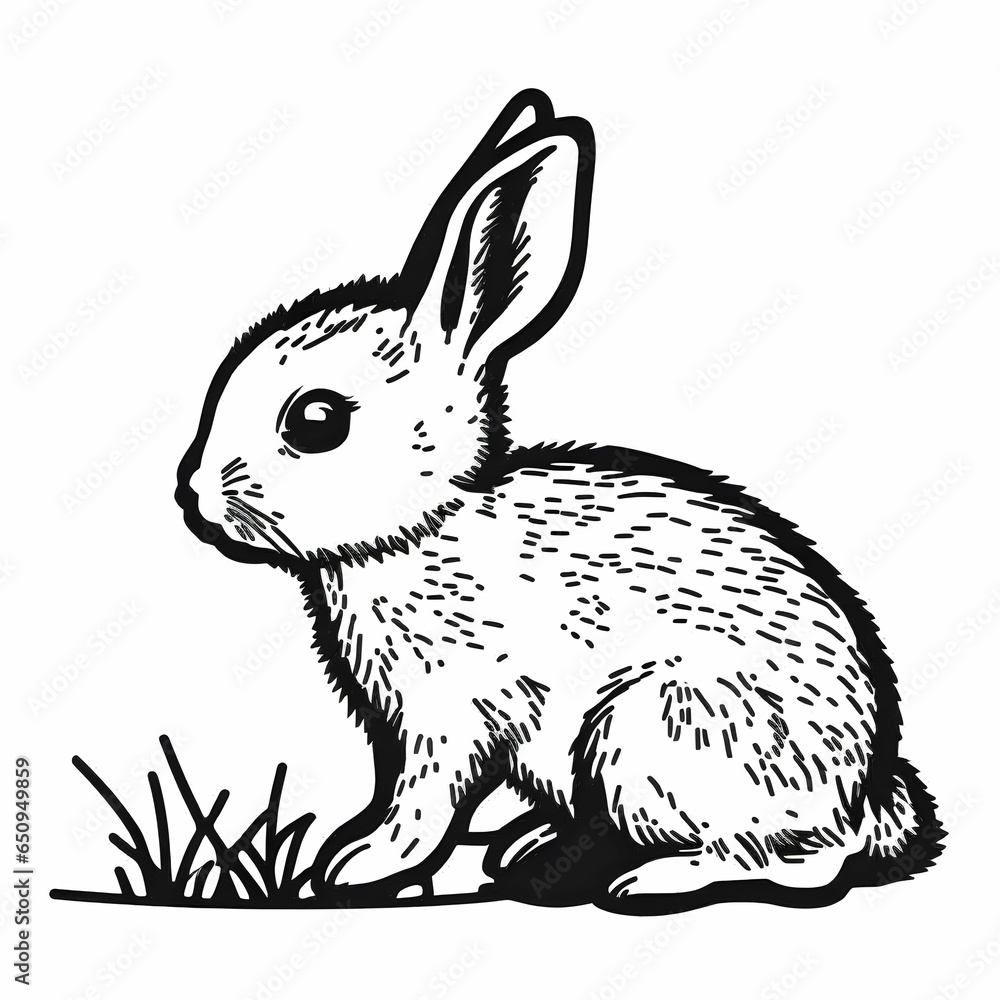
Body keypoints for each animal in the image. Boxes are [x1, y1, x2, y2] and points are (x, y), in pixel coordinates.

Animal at [175, 89, 942, 914]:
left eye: (316, 421)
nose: (194, 497)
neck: (424, 530)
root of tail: (860, 792)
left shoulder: (454, 713)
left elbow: (424, 802)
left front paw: (356, 864)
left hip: (650, 732)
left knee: (806, 861)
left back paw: (651, 879)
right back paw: (530, 845)